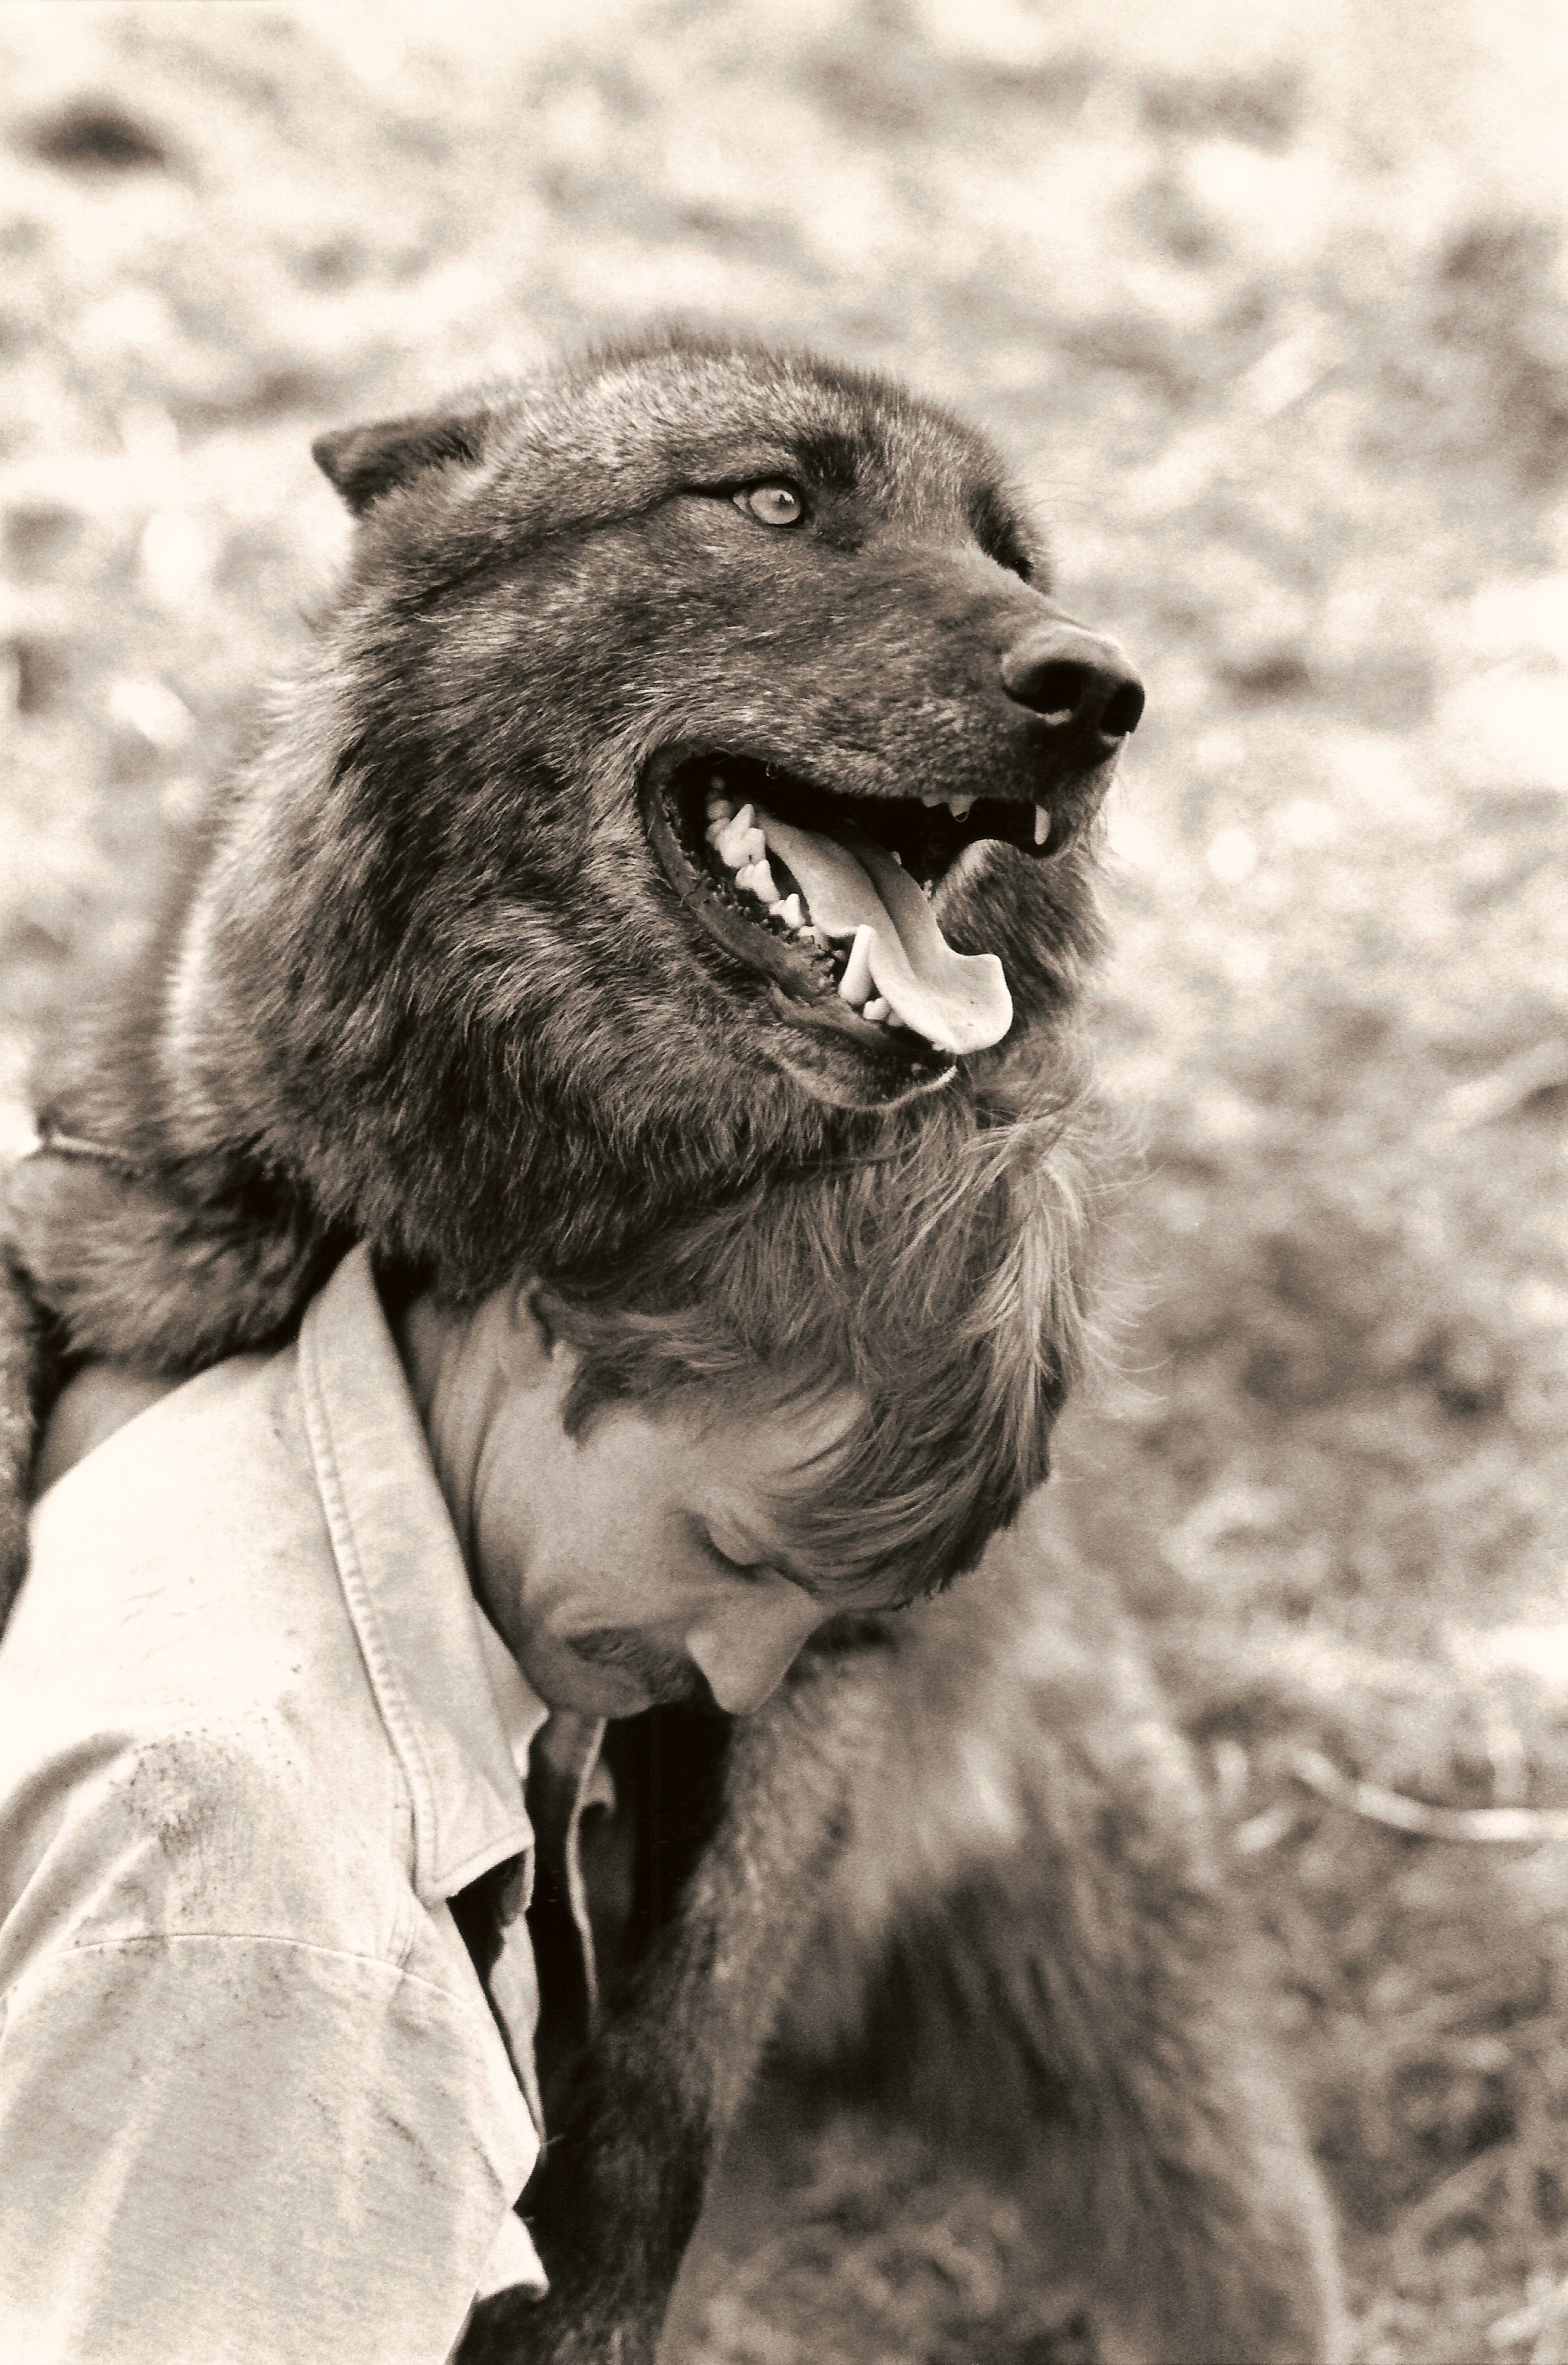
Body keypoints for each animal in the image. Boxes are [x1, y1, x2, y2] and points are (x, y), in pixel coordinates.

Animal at [1, 334, 1344, 2361]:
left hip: (1163, 2097)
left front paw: (592, 2280)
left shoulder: (828, 1649)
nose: (1098, 688)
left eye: (1011, 553)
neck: (558, 1178)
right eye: (771, 499)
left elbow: (679, 2030)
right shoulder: (107, 1249)